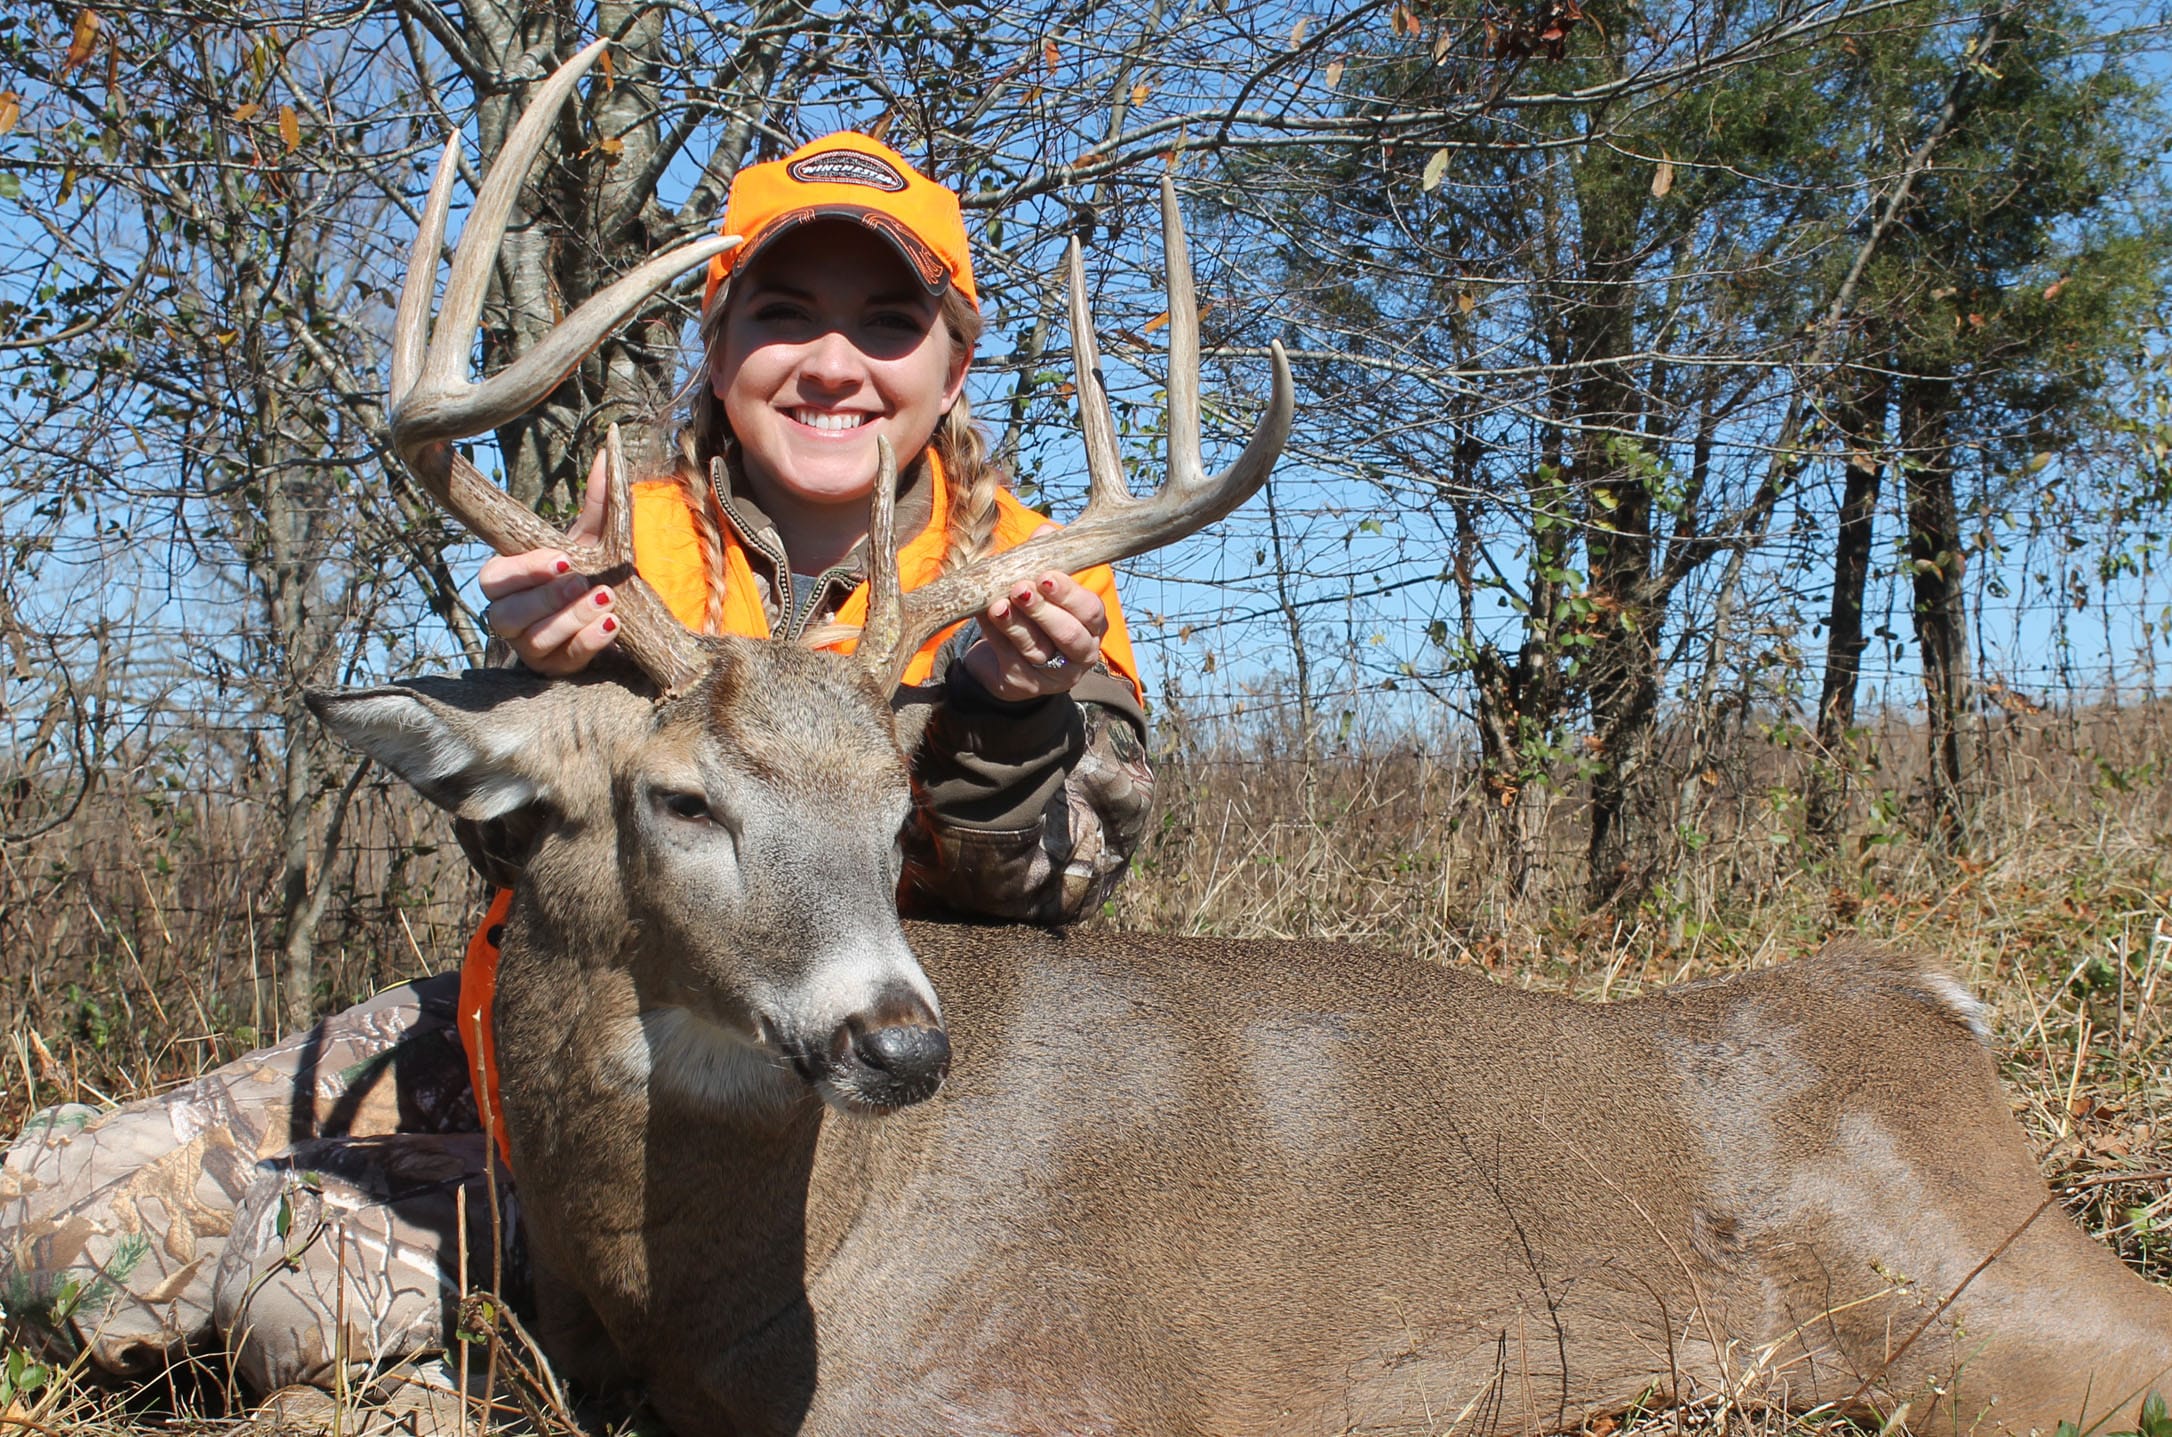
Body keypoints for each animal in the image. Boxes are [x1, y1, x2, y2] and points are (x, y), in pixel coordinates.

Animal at [307, 41, 2172, 1437]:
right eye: (682, 798)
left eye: (896, 804)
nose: (900, 1044)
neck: (732, 1279)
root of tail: (1933, 1003)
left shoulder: (1062, 1388)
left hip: (1973, 1305)